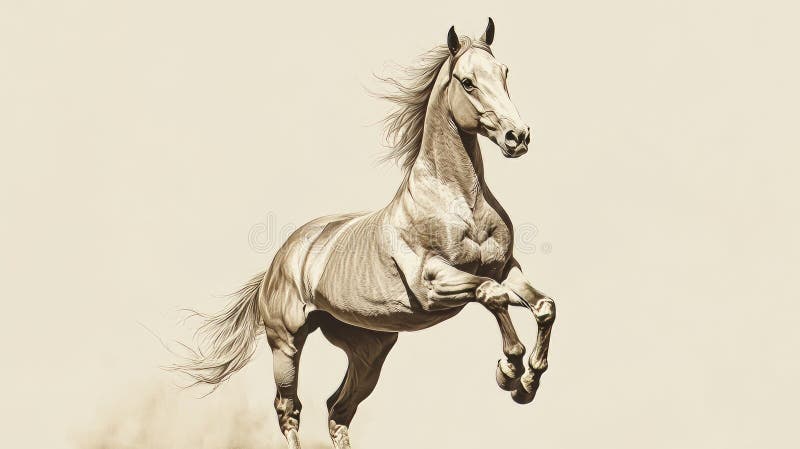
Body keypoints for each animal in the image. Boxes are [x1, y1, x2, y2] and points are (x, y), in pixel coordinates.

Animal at [175, 18, 556, 449]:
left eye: (504, 73)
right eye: (468, 82)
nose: (517, 136)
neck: (461, 202)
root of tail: (280, 259)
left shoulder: (506, 268)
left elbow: (543, 306)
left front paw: (527, 381)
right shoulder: (433, 283)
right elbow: (493, 296)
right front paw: (508, 370)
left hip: (369, 347)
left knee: (337, 410)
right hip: (286, 343)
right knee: (289, 410)